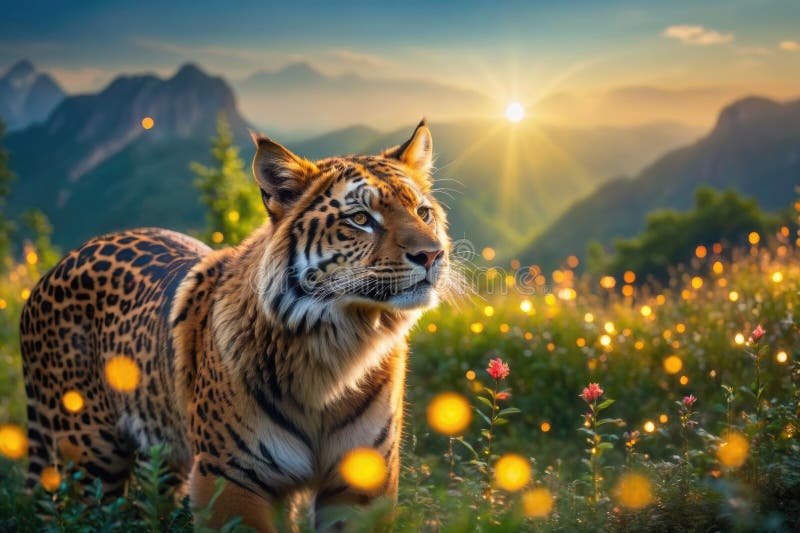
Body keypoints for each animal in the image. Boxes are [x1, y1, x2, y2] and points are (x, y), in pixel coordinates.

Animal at [19, 120, 454, 531]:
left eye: (423, 212)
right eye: (361, 218)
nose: (431, 255)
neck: (338, 350)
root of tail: (58, 264)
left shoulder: (363, 481)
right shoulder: (229, 478)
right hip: (87, 457)